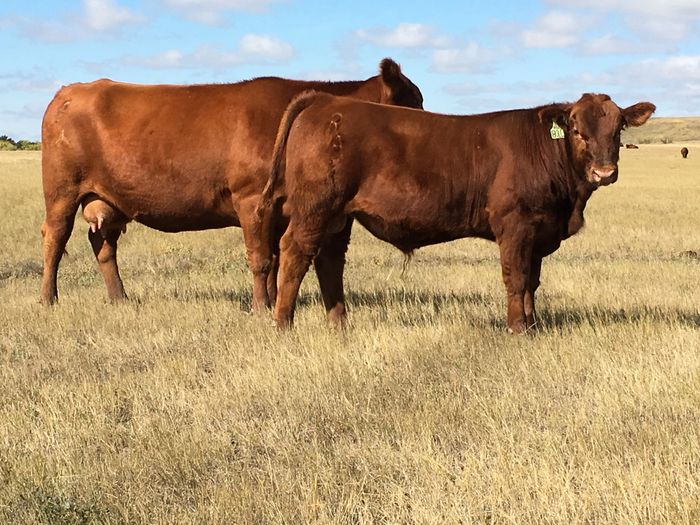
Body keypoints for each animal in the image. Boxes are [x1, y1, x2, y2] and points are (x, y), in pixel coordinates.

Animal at [39, 59, 423, 307]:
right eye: (413, 102)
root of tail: (69, 91)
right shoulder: (251, 200)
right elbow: (261, 259)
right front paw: (261, 308)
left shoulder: (279, 210)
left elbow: (275, 259)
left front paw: (272, 300)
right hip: (61, 190)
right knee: (54, 239)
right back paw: (48, 299)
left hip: (108, 200)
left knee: (103, 245)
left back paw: (119, 298)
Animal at [258, 92, 655, 333]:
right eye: (575, 129)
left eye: (618, 128)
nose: (604, 172)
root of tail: (327, 100)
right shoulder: (515, 224)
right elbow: (516, 277)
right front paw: (517, 328)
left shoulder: (538, 230)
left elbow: (532, 281)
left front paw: (533, 324)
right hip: (315, 207)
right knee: (294, 252)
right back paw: (282, 324)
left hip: (339, 216)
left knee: (329, 261)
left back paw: (340, 324)